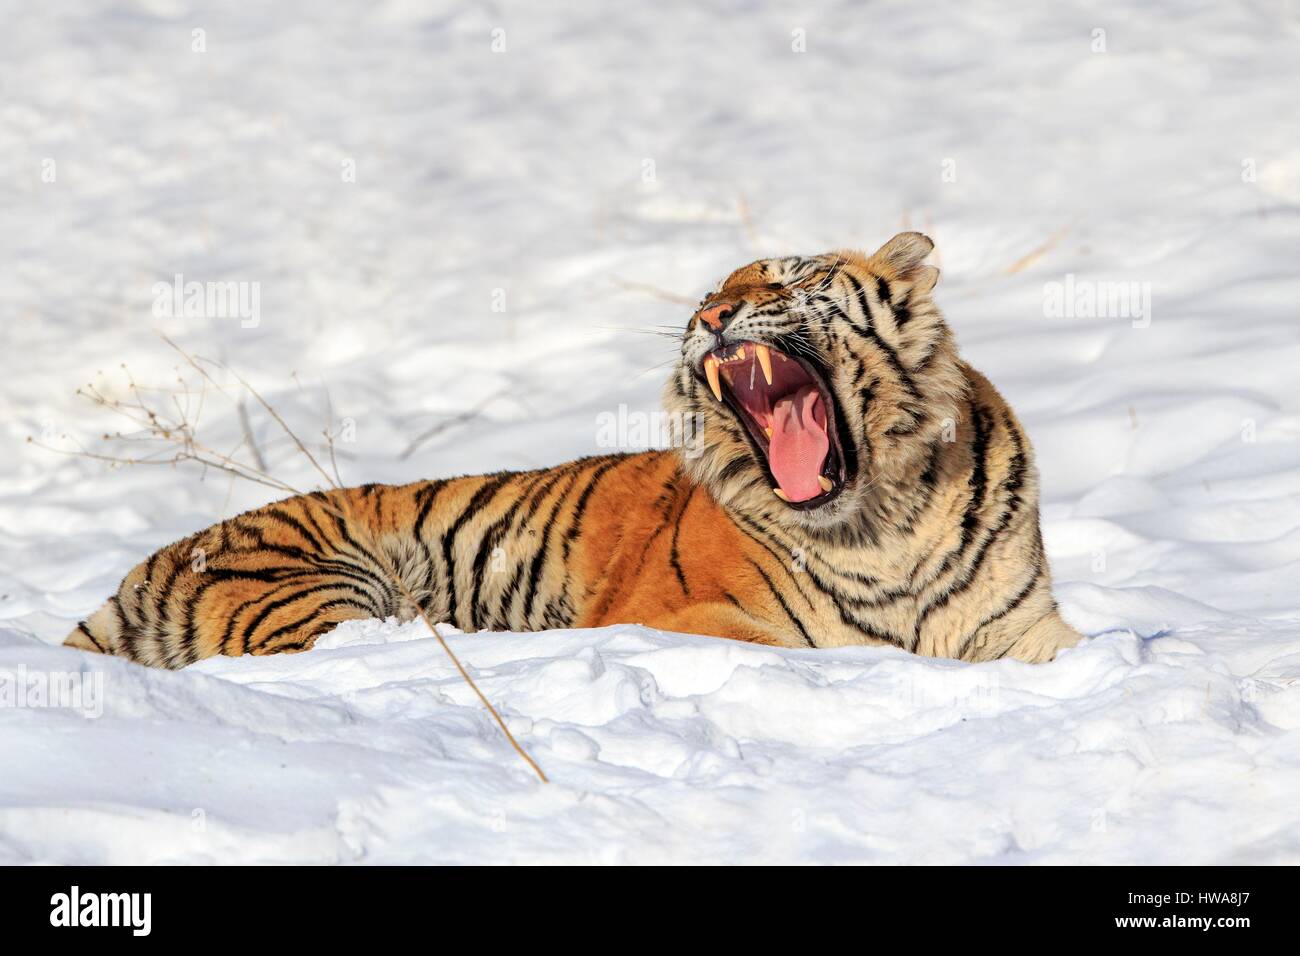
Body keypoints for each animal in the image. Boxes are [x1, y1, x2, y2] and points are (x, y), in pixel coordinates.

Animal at [65, 232, 1082, 669]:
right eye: (708, 294)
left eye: (793, 276)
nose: (711, 314)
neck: (882, 520)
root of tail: (151, 567)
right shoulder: (684, 619)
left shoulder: (1025, 625)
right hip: (322, 587)